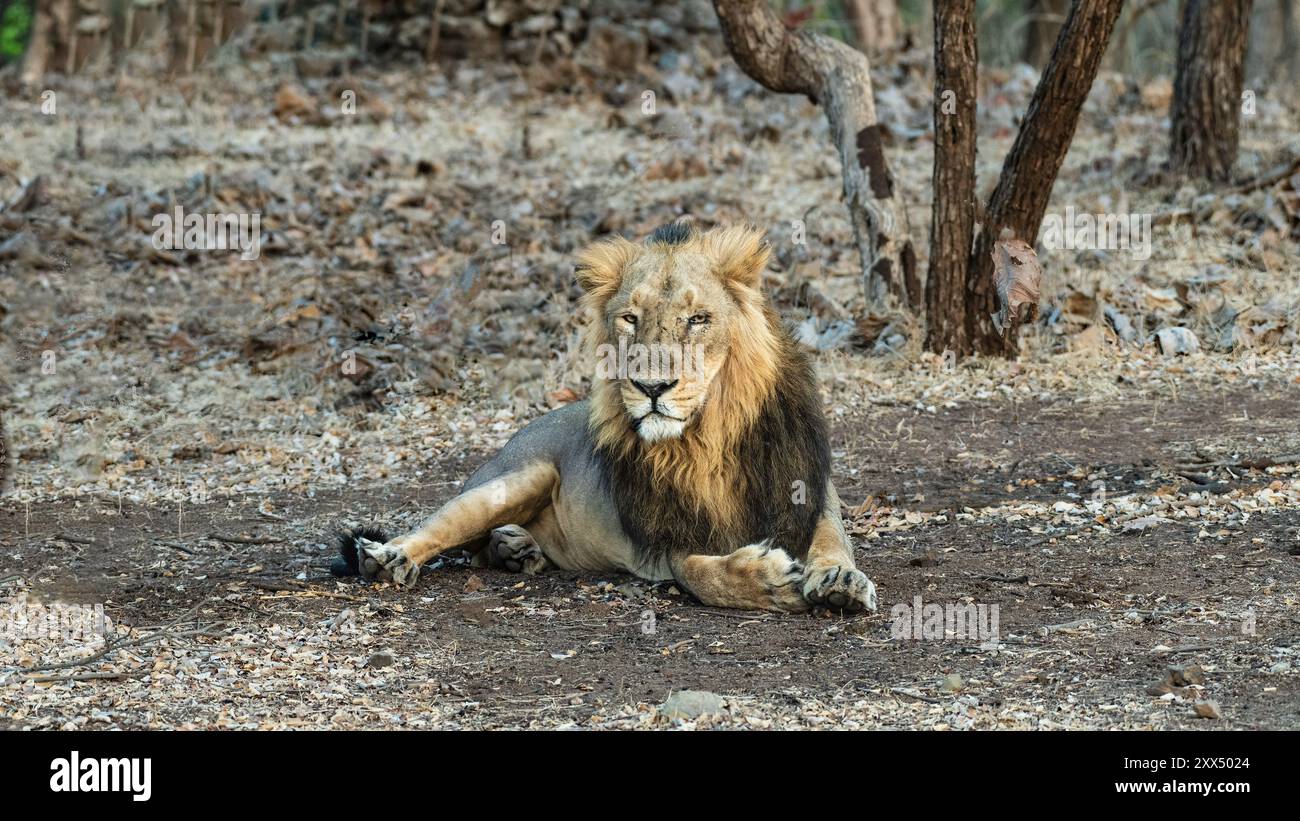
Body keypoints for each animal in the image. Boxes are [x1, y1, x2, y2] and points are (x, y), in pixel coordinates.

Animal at [332, 222, 877, 613]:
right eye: (630, 319)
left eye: (698, 319)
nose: (652, 388)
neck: (709, 436)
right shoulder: (665, 539)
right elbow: (701, 572)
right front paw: (769, 581)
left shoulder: (806, 489)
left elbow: (832, 539)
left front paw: (838, 579)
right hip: (515, 478)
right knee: (439, 530)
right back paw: (388, 557)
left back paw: (516, 548)